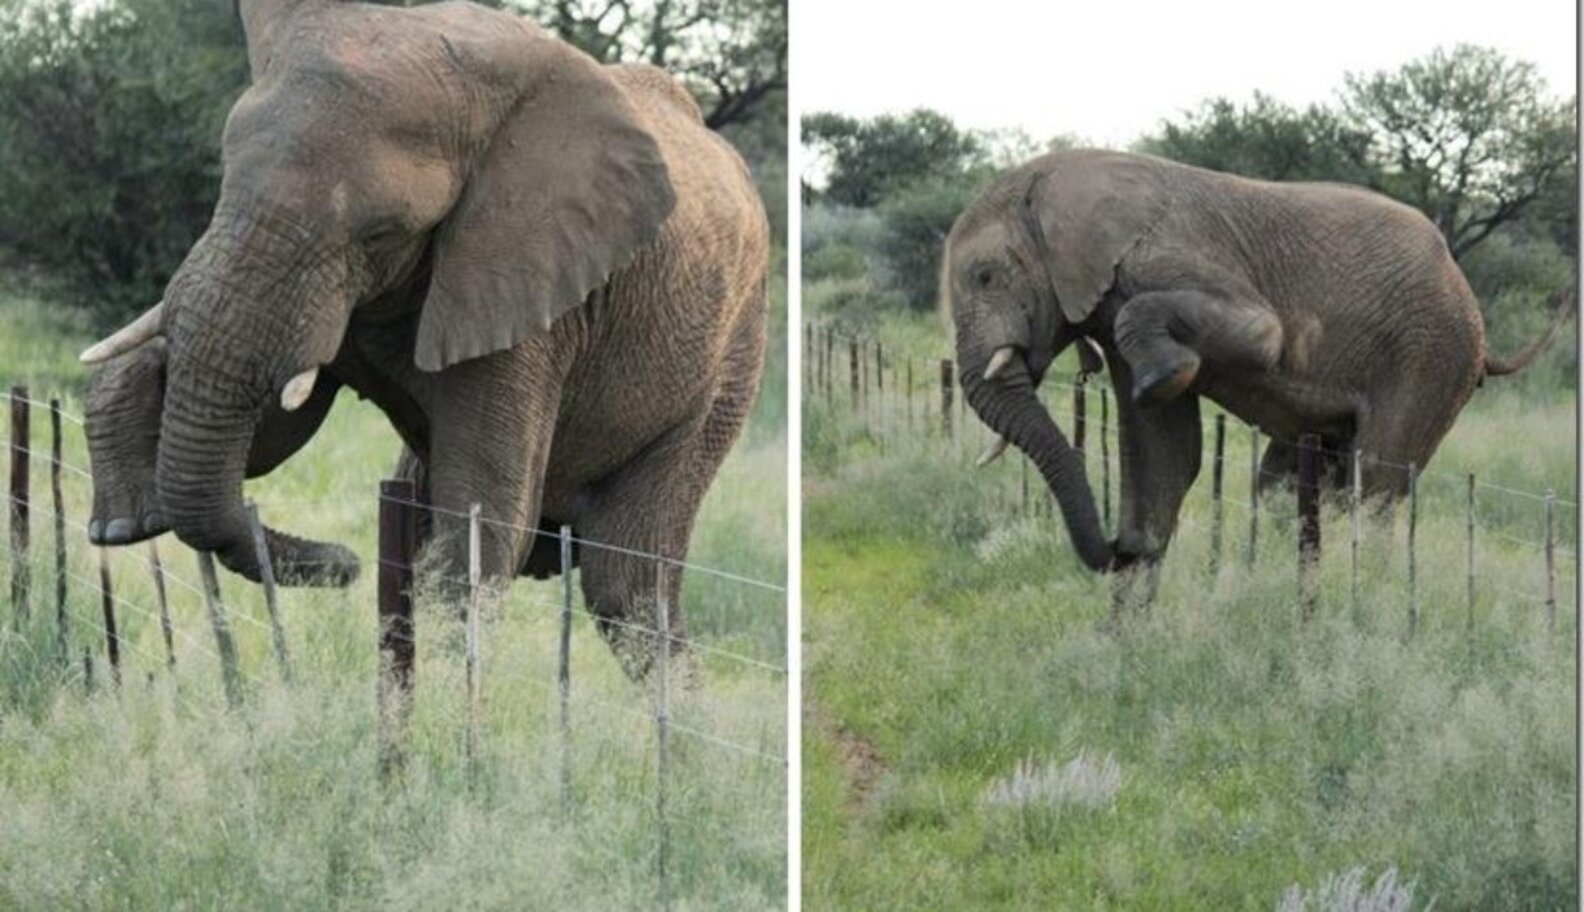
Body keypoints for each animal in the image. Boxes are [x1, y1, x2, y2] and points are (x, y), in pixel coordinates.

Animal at [78, 0, 769, 675]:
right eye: (225, 184)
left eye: (382, 232)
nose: (346, 564)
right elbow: (271, 433)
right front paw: (122, 522)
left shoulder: (528, 287)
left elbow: (482, 528)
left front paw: (438, 699)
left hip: (732, 356)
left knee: (625, 585)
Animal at [943, 149, 1568, 606]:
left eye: (986, 276)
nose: (1118, 548)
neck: (1057, 182)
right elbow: (1164, 452)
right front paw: (1124, 646)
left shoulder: (1164, 259)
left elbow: (1259, 333)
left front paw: (1163, 377)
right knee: (1284, 489)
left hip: (1430, 356)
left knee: (1375, 488)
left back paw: (1369, 607)